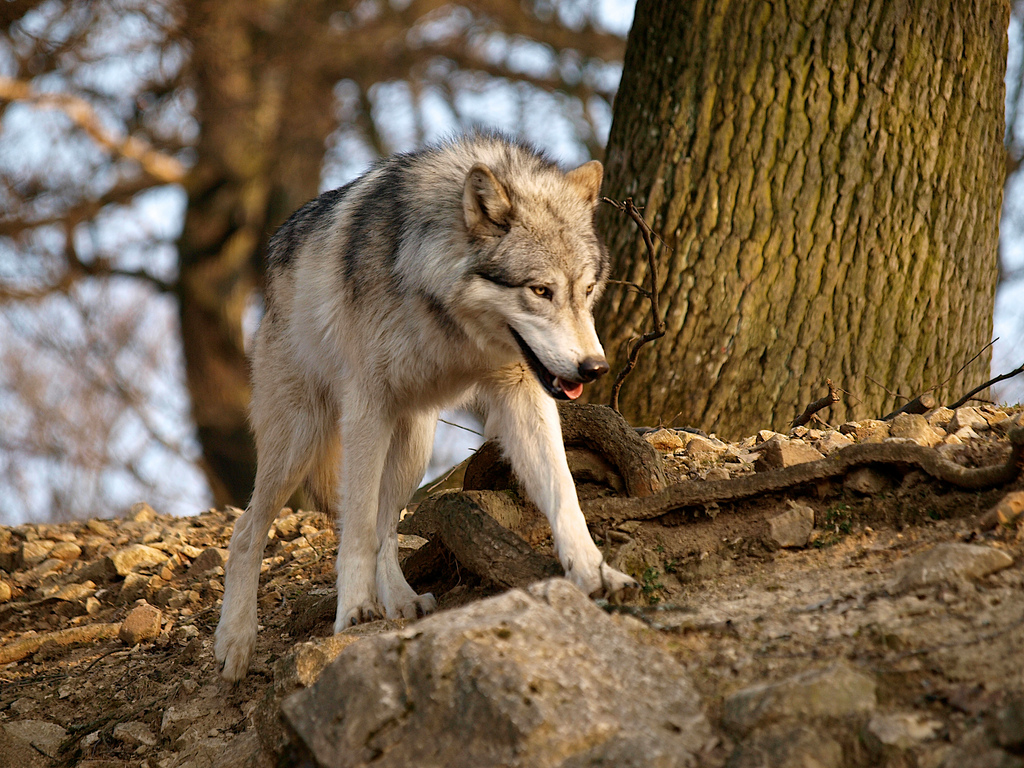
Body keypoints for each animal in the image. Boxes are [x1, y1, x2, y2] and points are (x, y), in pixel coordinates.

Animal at [214, 133, 639, 681]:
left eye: (586, 291)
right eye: (540, 290)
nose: (594, 368)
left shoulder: (523, 392)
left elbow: (563, 492)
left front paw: (594, 571)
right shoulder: (366, 406)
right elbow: (353, 529)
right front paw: (354, 611)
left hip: (413, 445)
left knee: (386, 525)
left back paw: (400, 600)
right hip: (300, 441)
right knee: (248, 530)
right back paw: (236, 641)